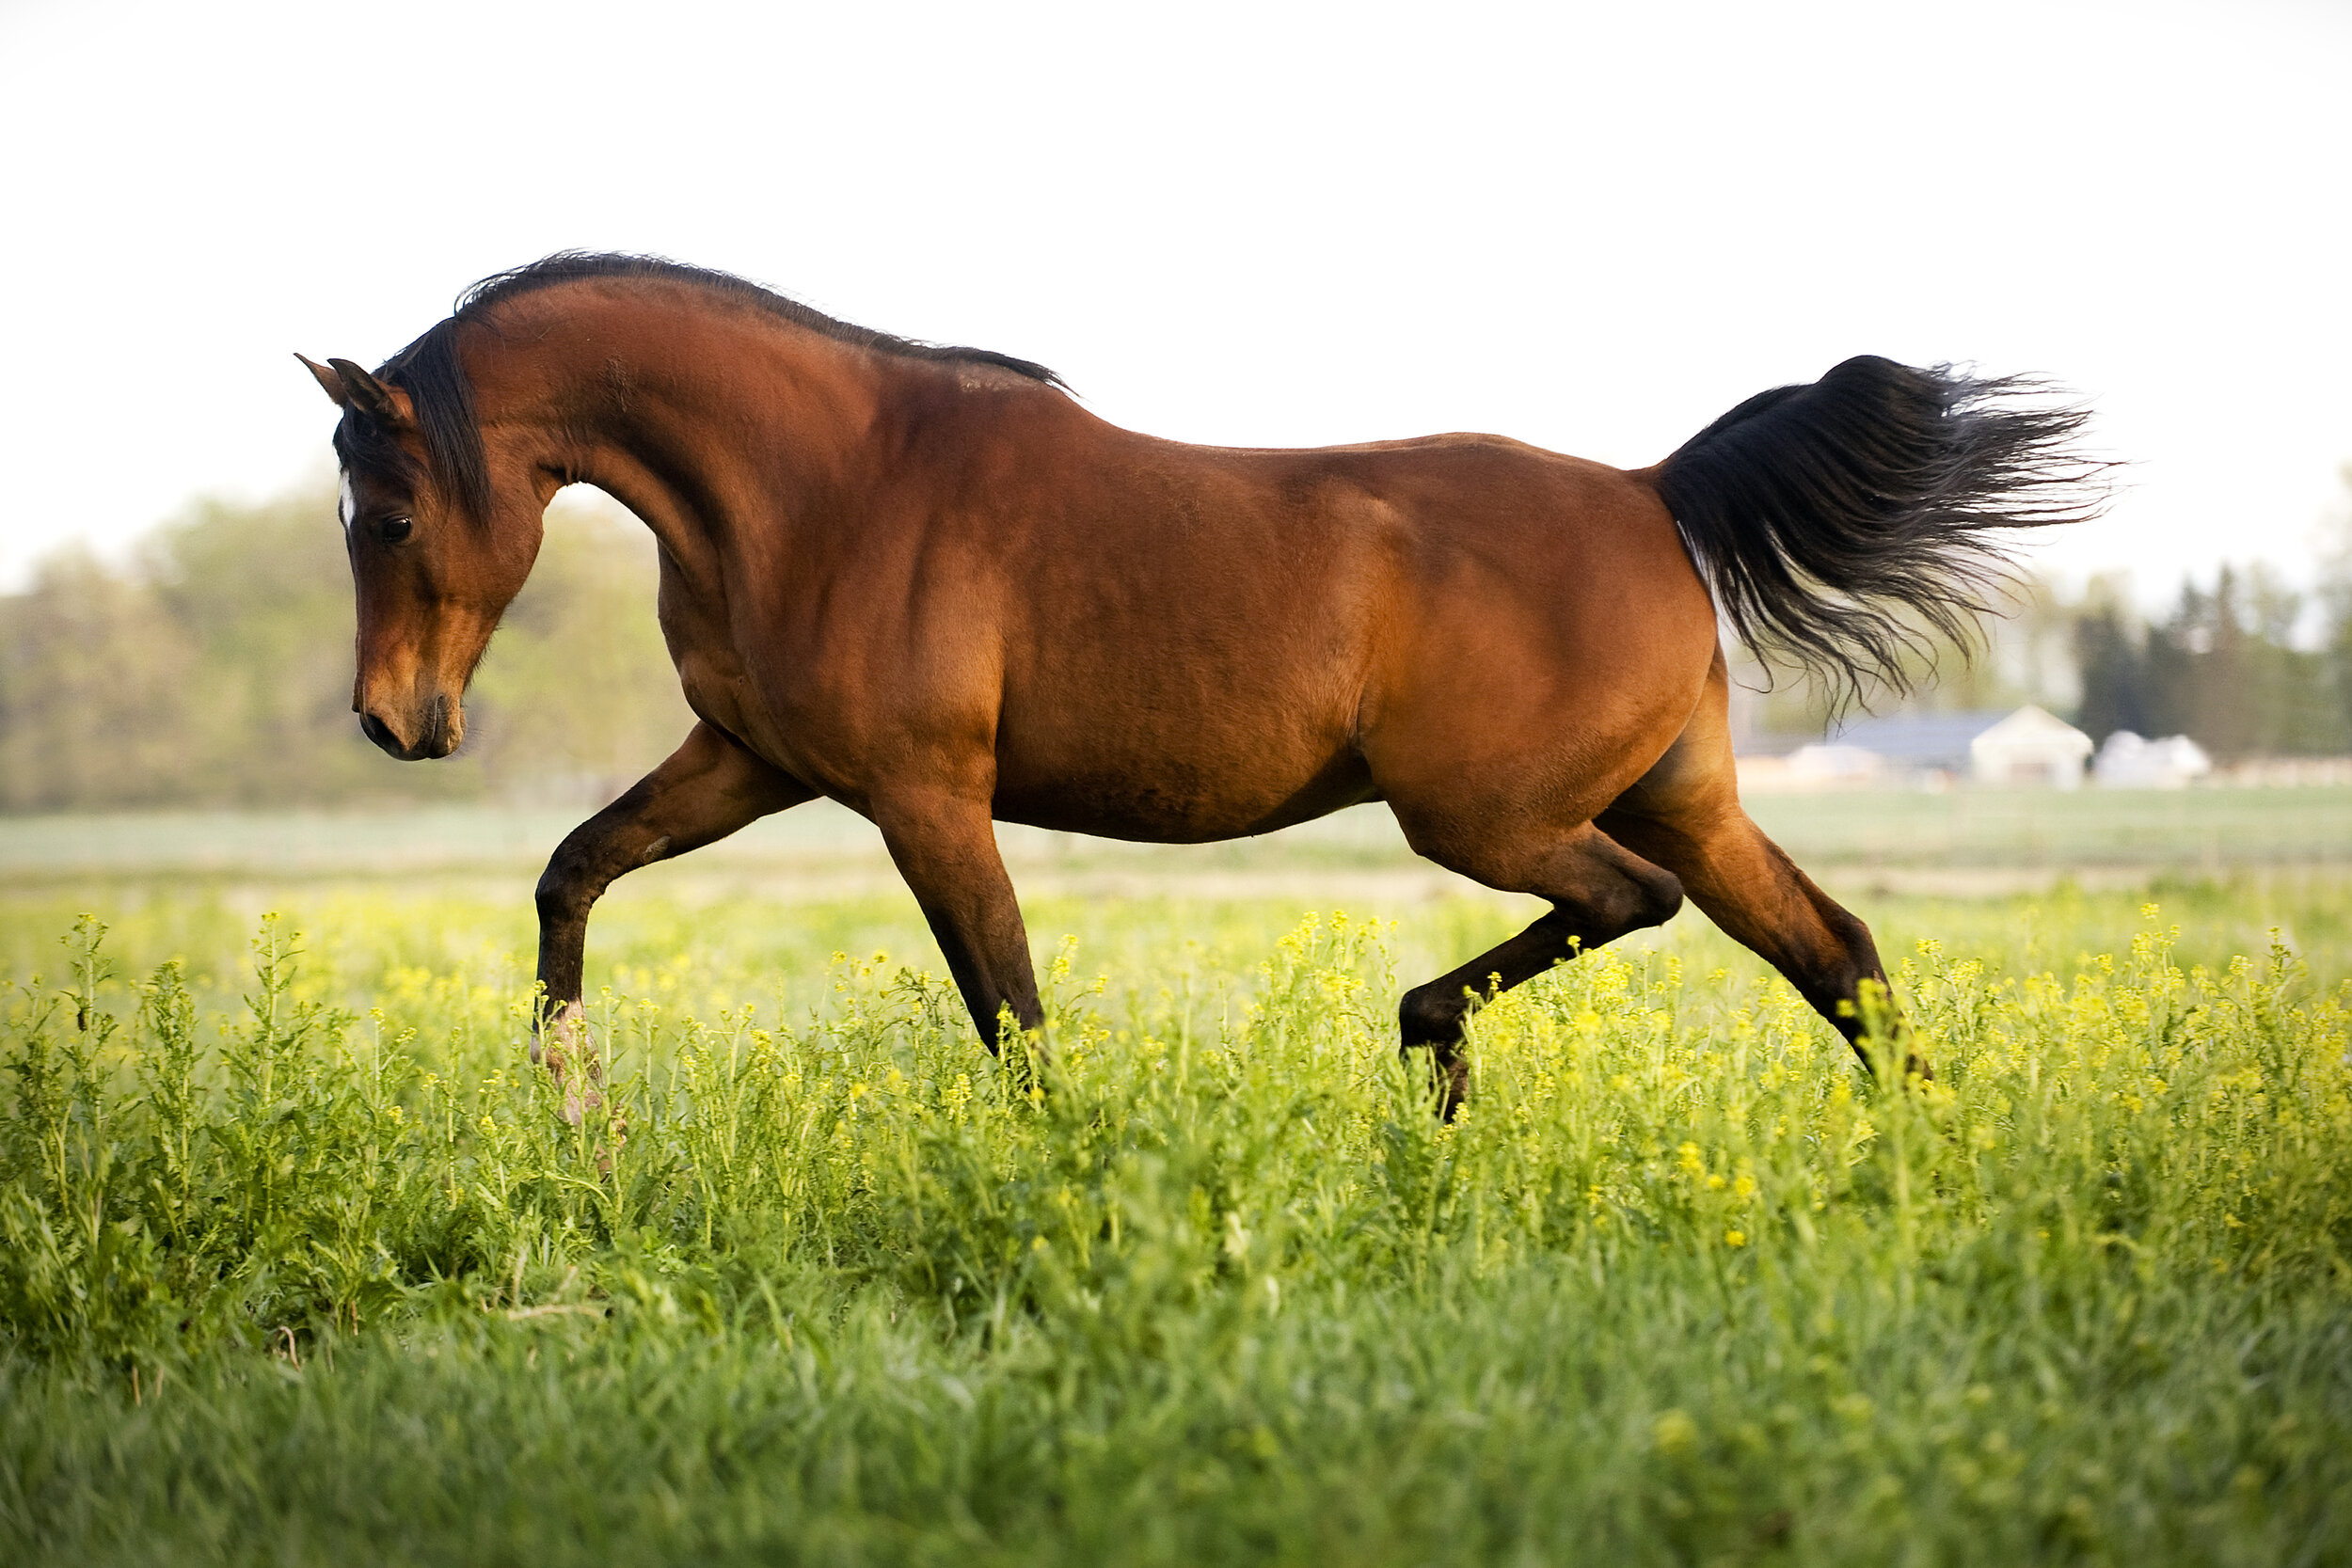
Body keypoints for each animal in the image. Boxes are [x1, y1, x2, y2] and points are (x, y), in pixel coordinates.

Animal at [300, 253, 2096, 1113]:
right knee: (1840, 957)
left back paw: (1430, 1039)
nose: (396, 723)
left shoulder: (923, 798)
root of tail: (1654, 488)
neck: (825, 485)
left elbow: (1011, 1014)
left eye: (384, 514)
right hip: (1690, 800)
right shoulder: (753, 757)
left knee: (1632, 905)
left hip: (1491, 817)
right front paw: (567, 1102)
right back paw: (1928, 1160)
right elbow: (574, 868)